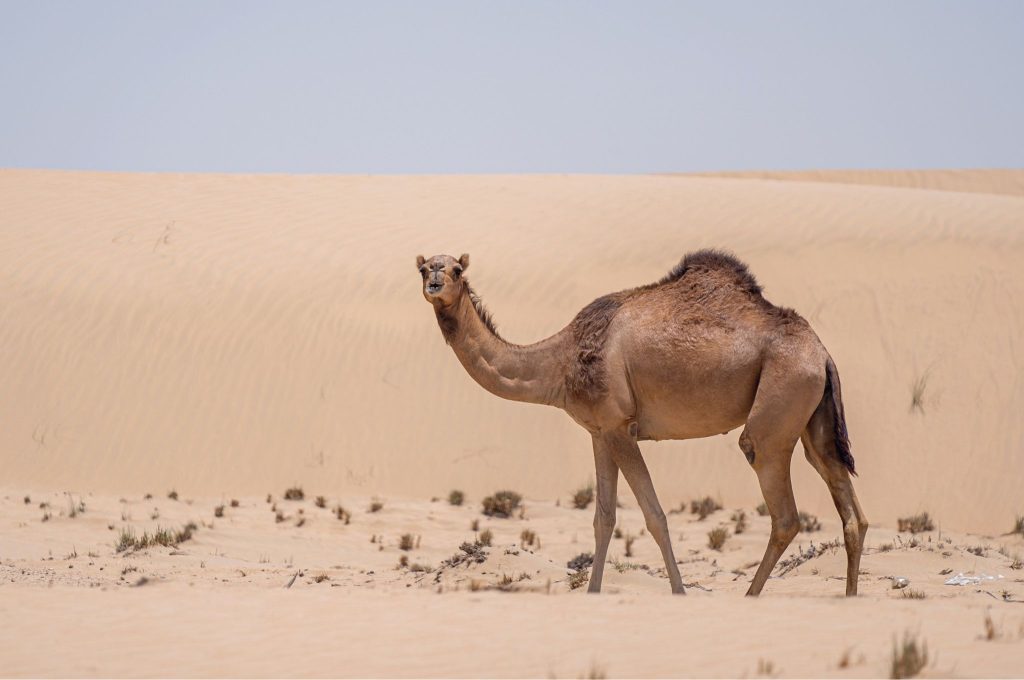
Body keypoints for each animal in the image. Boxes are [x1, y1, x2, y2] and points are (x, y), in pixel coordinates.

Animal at [416, 250, 867, 596]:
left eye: (456, 269)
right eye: (424, 268)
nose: (435, 281)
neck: (558, 362)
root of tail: (822, 353)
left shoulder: (620, 427)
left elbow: (654, 516)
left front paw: (680, 591)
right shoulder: (598, 432)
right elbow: (603, 519)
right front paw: (593, 593)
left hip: (779, 405)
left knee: (782, 509)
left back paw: (750, 596)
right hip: (813, 417)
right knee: (847, 505)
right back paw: (848, 597)